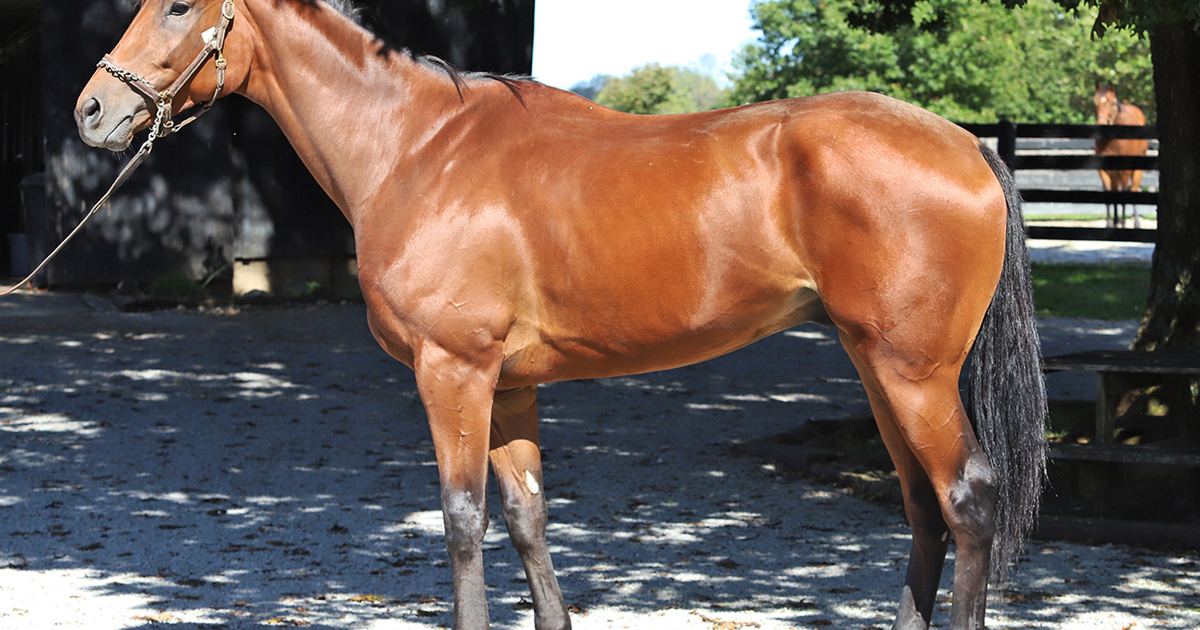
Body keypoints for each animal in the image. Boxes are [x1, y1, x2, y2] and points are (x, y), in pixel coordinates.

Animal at [73, 1, 1046, 628]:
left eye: (179, 3)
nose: (92, 108)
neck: (414, 150)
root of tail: (967, 144)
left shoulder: (453, 372)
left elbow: (462, 518)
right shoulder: (508, 388)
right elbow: (526, 517)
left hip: (914, 374)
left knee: (967, 502)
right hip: (878, 370)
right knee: (924, 510)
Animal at [1094, 84, 1149, 228]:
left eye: (1112, 103)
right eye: (1095, 103)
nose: (1101, 125)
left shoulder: (1125, 170)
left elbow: (1124, 194)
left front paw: (1123, 223)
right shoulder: (1104, 170)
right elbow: (1110, 194)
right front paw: (1110, 223)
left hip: (1136, 168)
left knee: (1133, 189)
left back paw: (1135, 222)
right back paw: (1116, 221)